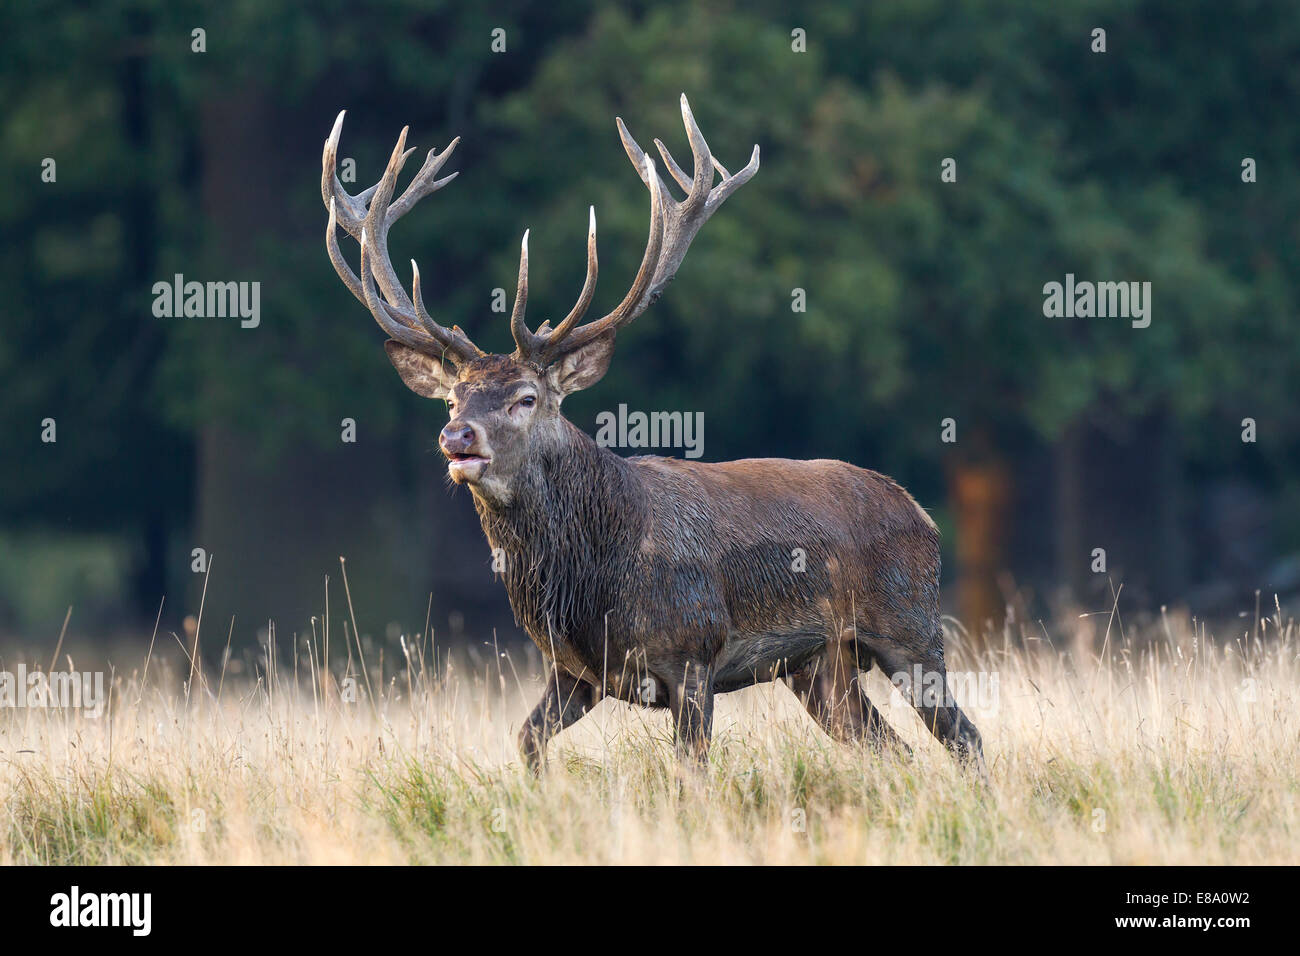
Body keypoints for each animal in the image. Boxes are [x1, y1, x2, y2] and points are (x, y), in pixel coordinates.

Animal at [321, 96, 985, 775]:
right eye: (452, 398)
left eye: (527, 398)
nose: (457, 438)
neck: (590, 580)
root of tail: (921, 512)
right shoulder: (574, 670)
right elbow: (526, 740)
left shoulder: (692, 652)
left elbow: (692, 768)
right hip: (820, 666)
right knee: (891, 749)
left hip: (911, 629)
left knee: (966, 737)